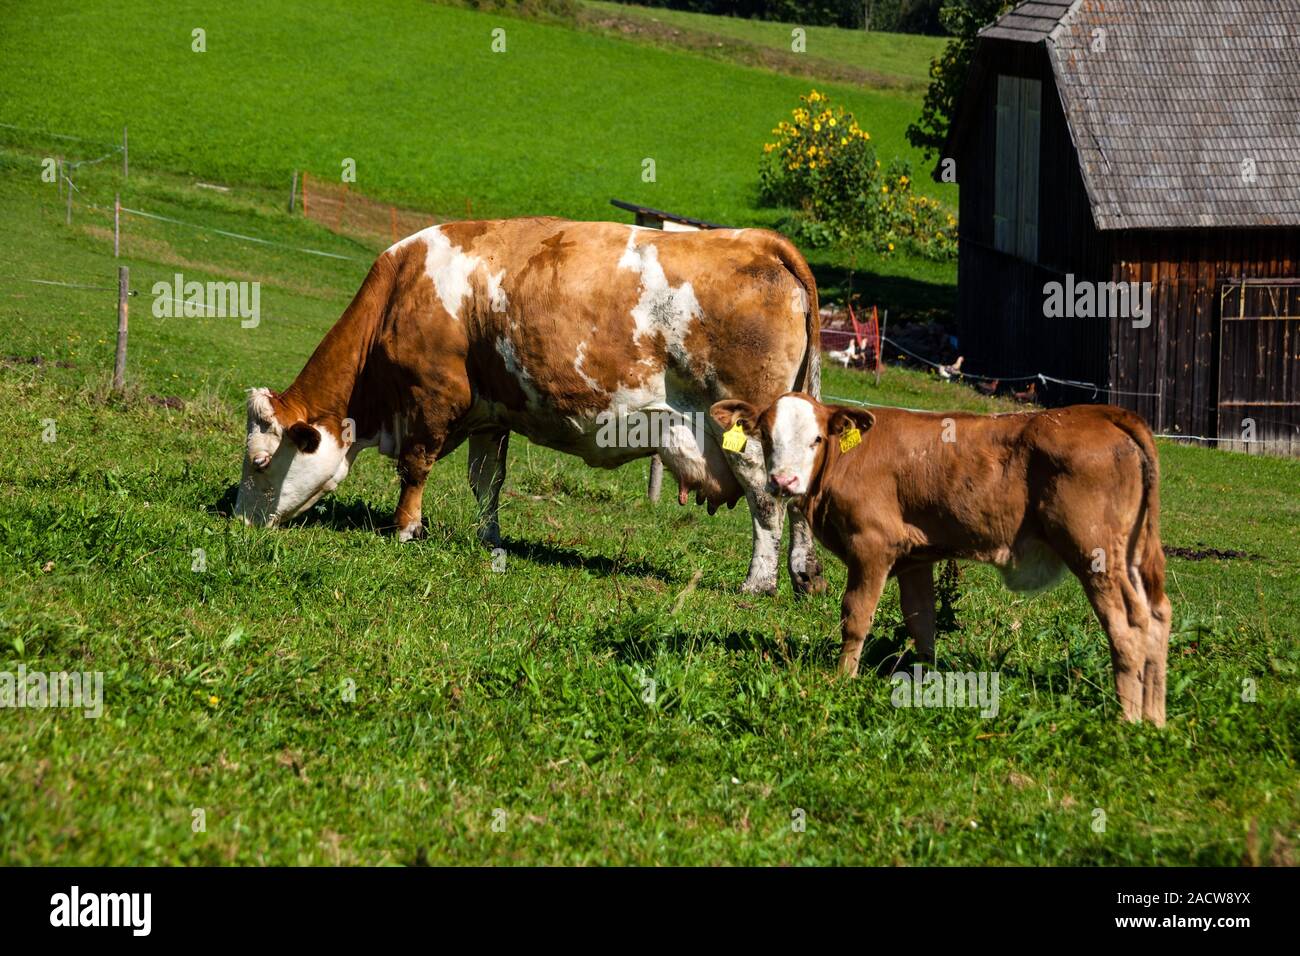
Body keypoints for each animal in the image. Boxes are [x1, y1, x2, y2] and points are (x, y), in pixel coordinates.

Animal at [233, 218, 826, 596]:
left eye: (260, 462)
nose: (236, 521)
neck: (402, 289)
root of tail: (758, 242)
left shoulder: (432, 399)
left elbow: (415, 468)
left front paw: (404, 530)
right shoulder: (489, 415)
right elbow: (486, 482)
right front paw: (488, 539)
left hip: (746, 433)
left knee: (768, 503)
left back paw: (758, 583)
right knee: (796, 502)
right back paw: (803, 576)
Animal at [709, 394, 1172, 724]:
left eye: (816, 439)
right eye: (767, 438)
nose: (783, 481)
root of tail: (1101, 413)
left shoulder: (872, 545)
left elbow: (856, 616)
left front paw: (842, 679)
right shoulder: (915, 558)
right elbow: (922, 623)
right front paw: (928, 682)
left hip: (1094, 552)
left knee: (1127, 623)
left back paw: (1127, 718)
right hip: (1134, 552)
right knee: (1157, 616)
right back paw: (1154, 717)